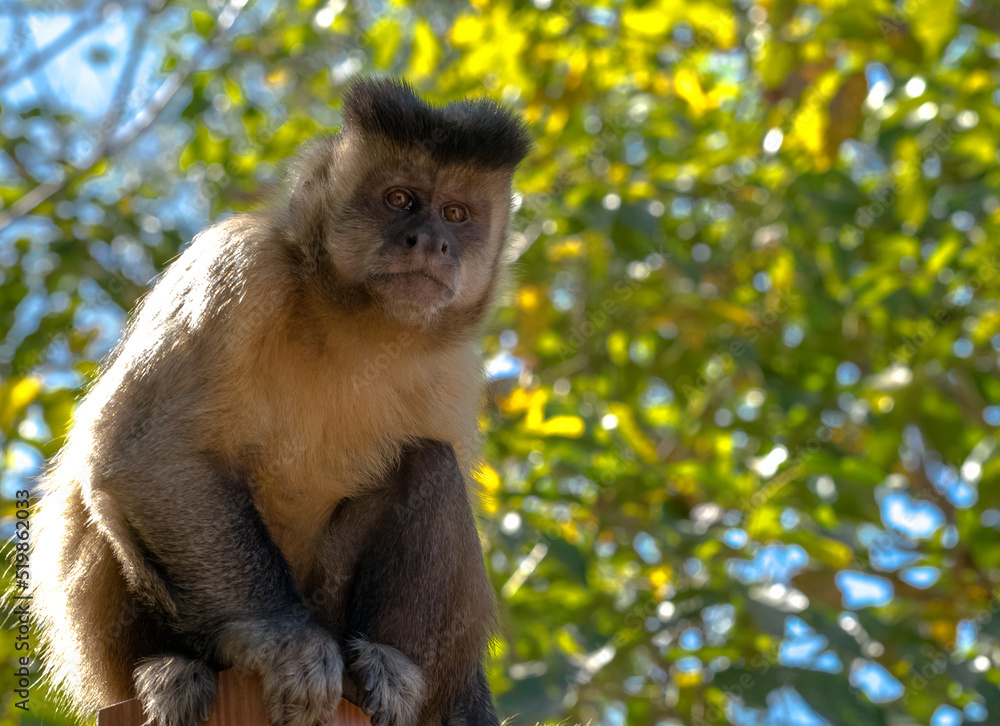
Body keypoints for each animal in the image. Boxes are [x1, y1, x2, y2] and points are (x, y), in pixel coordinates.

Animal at [32, 77, 531, 726]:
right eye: (399, 199)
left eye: (455, 213)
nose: (433, 242)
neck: (353, 325)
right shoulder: (239, 262)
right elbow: (145, 455)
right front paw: (284, 640)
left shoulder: (457, 366)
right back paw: (169, 669)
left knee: (431, 461)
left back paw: (387, 666)